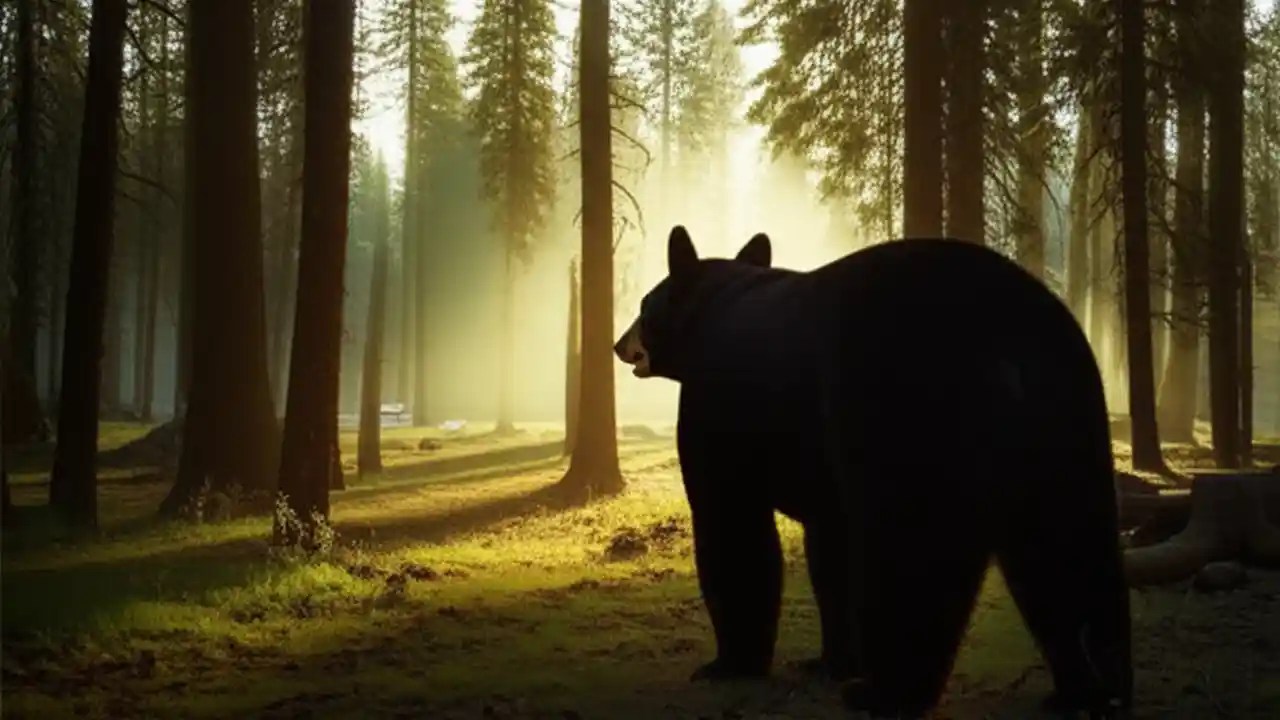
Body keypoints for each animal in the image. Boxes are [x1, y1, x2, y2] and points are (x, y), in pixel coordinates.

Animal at [613, 226, 1132, 719]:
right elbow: (831, 548)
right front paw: (832, 661)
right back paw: (1086, 691)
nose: (619, 343)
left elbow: (732, 522)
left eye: (644, 305)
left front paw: (731, 664)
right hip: (1067, 423)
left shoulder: (719, 410)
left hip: (908, 412)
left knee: (914, 550)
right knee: (1062, 551)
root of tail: (1011, 336)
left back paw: (887, 692)